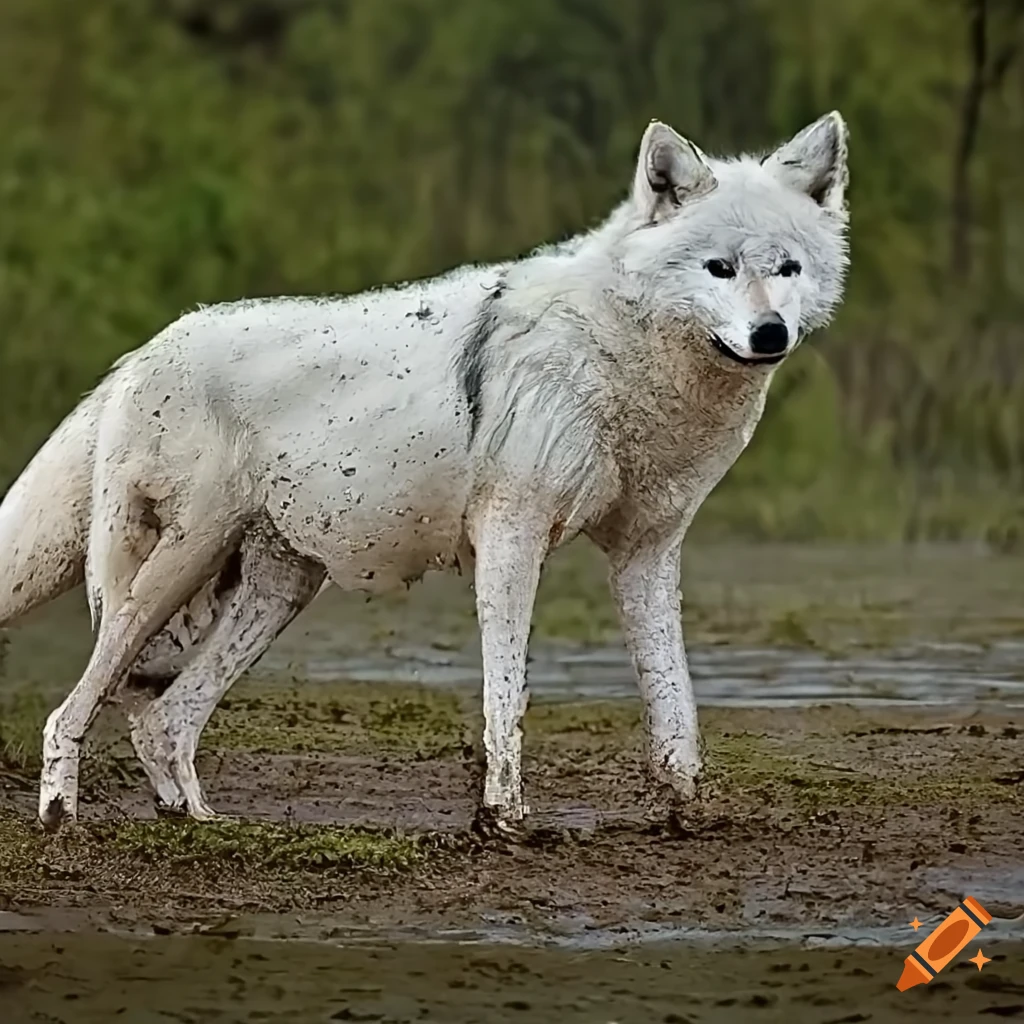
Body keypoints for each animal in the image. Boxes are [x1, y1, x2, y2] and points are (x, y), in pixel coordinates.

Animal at [0, 112, 849, 832]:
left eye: (787, 268)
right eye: (718, 268)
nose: (769, 334)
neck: (622, 358)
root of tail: (137, 356)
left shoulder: (648, 552)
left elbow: (676, 705)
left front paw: (682, 817)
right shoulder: (511, 535)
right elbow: (506, 694)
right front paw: (503, 821)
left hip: (277, 591)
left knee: (160, 720)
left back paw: (199, 821)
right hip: (166, 575)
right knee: (72, 711)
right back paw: (60, 819)